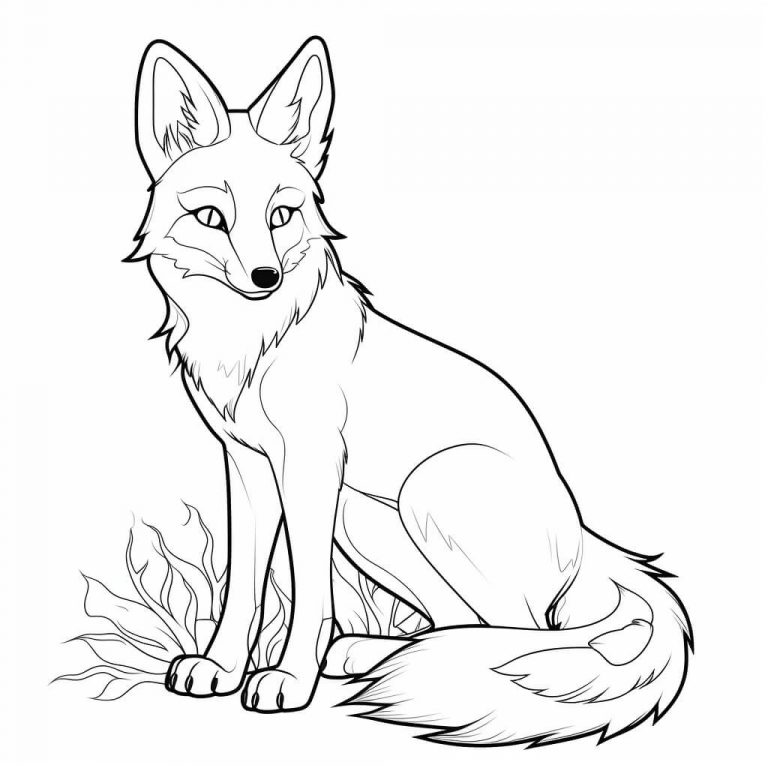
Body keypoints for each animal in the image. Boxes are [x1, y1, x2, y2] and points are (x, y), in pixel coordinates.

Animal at [128, 37, 692, 747]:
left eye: (282, 215)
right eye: (210, 217)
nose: (265, 276)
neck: (253, 346)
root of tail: (585, 537)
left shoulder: (311, 465)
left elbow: (308, 594)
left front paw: (288, 679)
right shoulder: (250, 467)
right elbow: (244, 588)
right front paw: (222, 669)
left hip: (432, 486)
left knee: (521, 632)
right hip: (362, 519)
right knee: (457, 619)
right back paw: (376, 655)